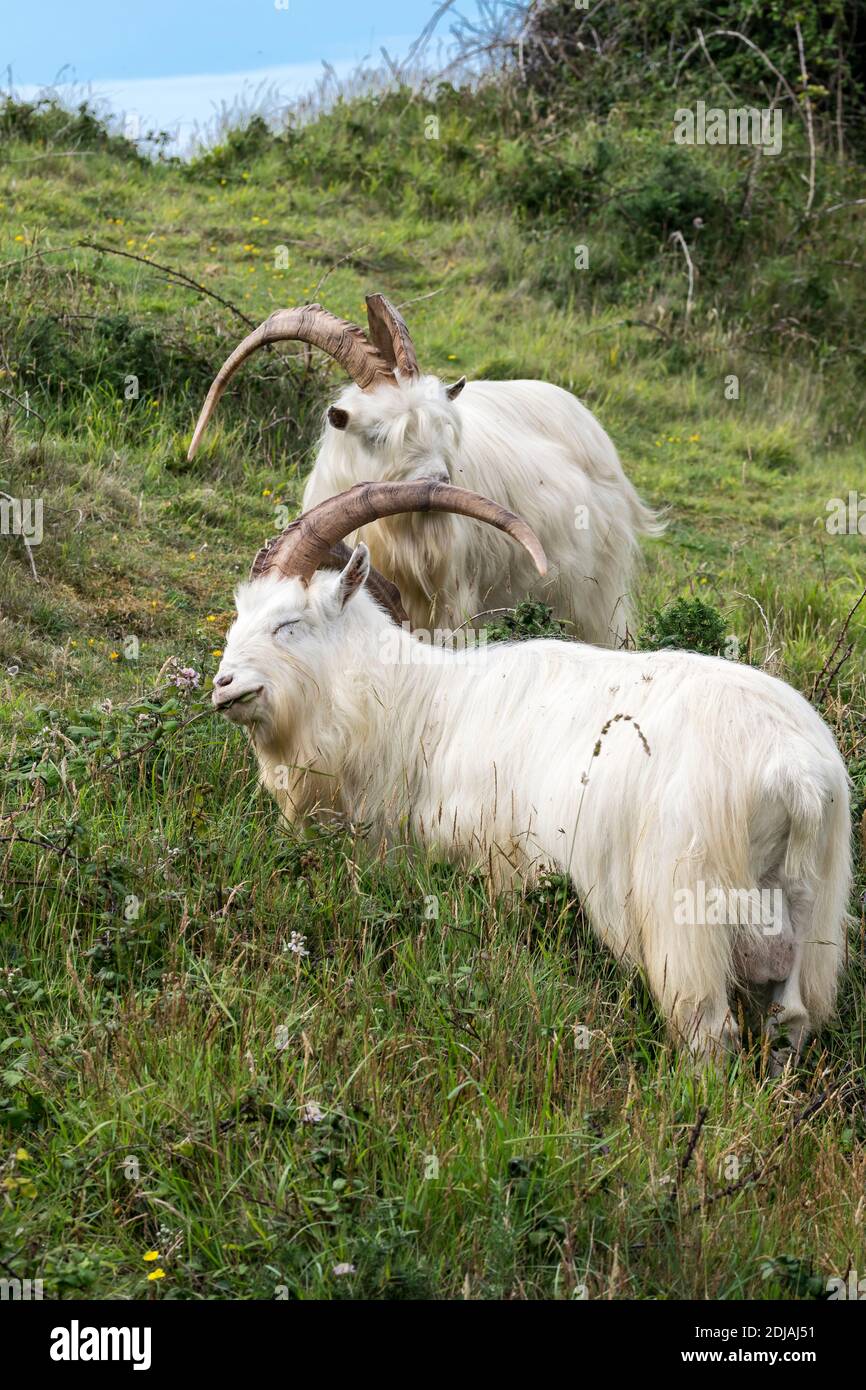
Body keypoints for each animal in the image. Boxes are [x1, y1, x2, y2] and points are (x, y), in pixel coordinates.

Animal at [210, 480, 852, 1061]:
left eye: (288, 623)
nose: (222, 686)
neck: (418, 704)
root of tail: (793, 774)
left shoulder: (496, 865)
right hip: (810, 914)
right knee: (790, 1021)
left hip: (686, 916)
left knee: (708, 1031)